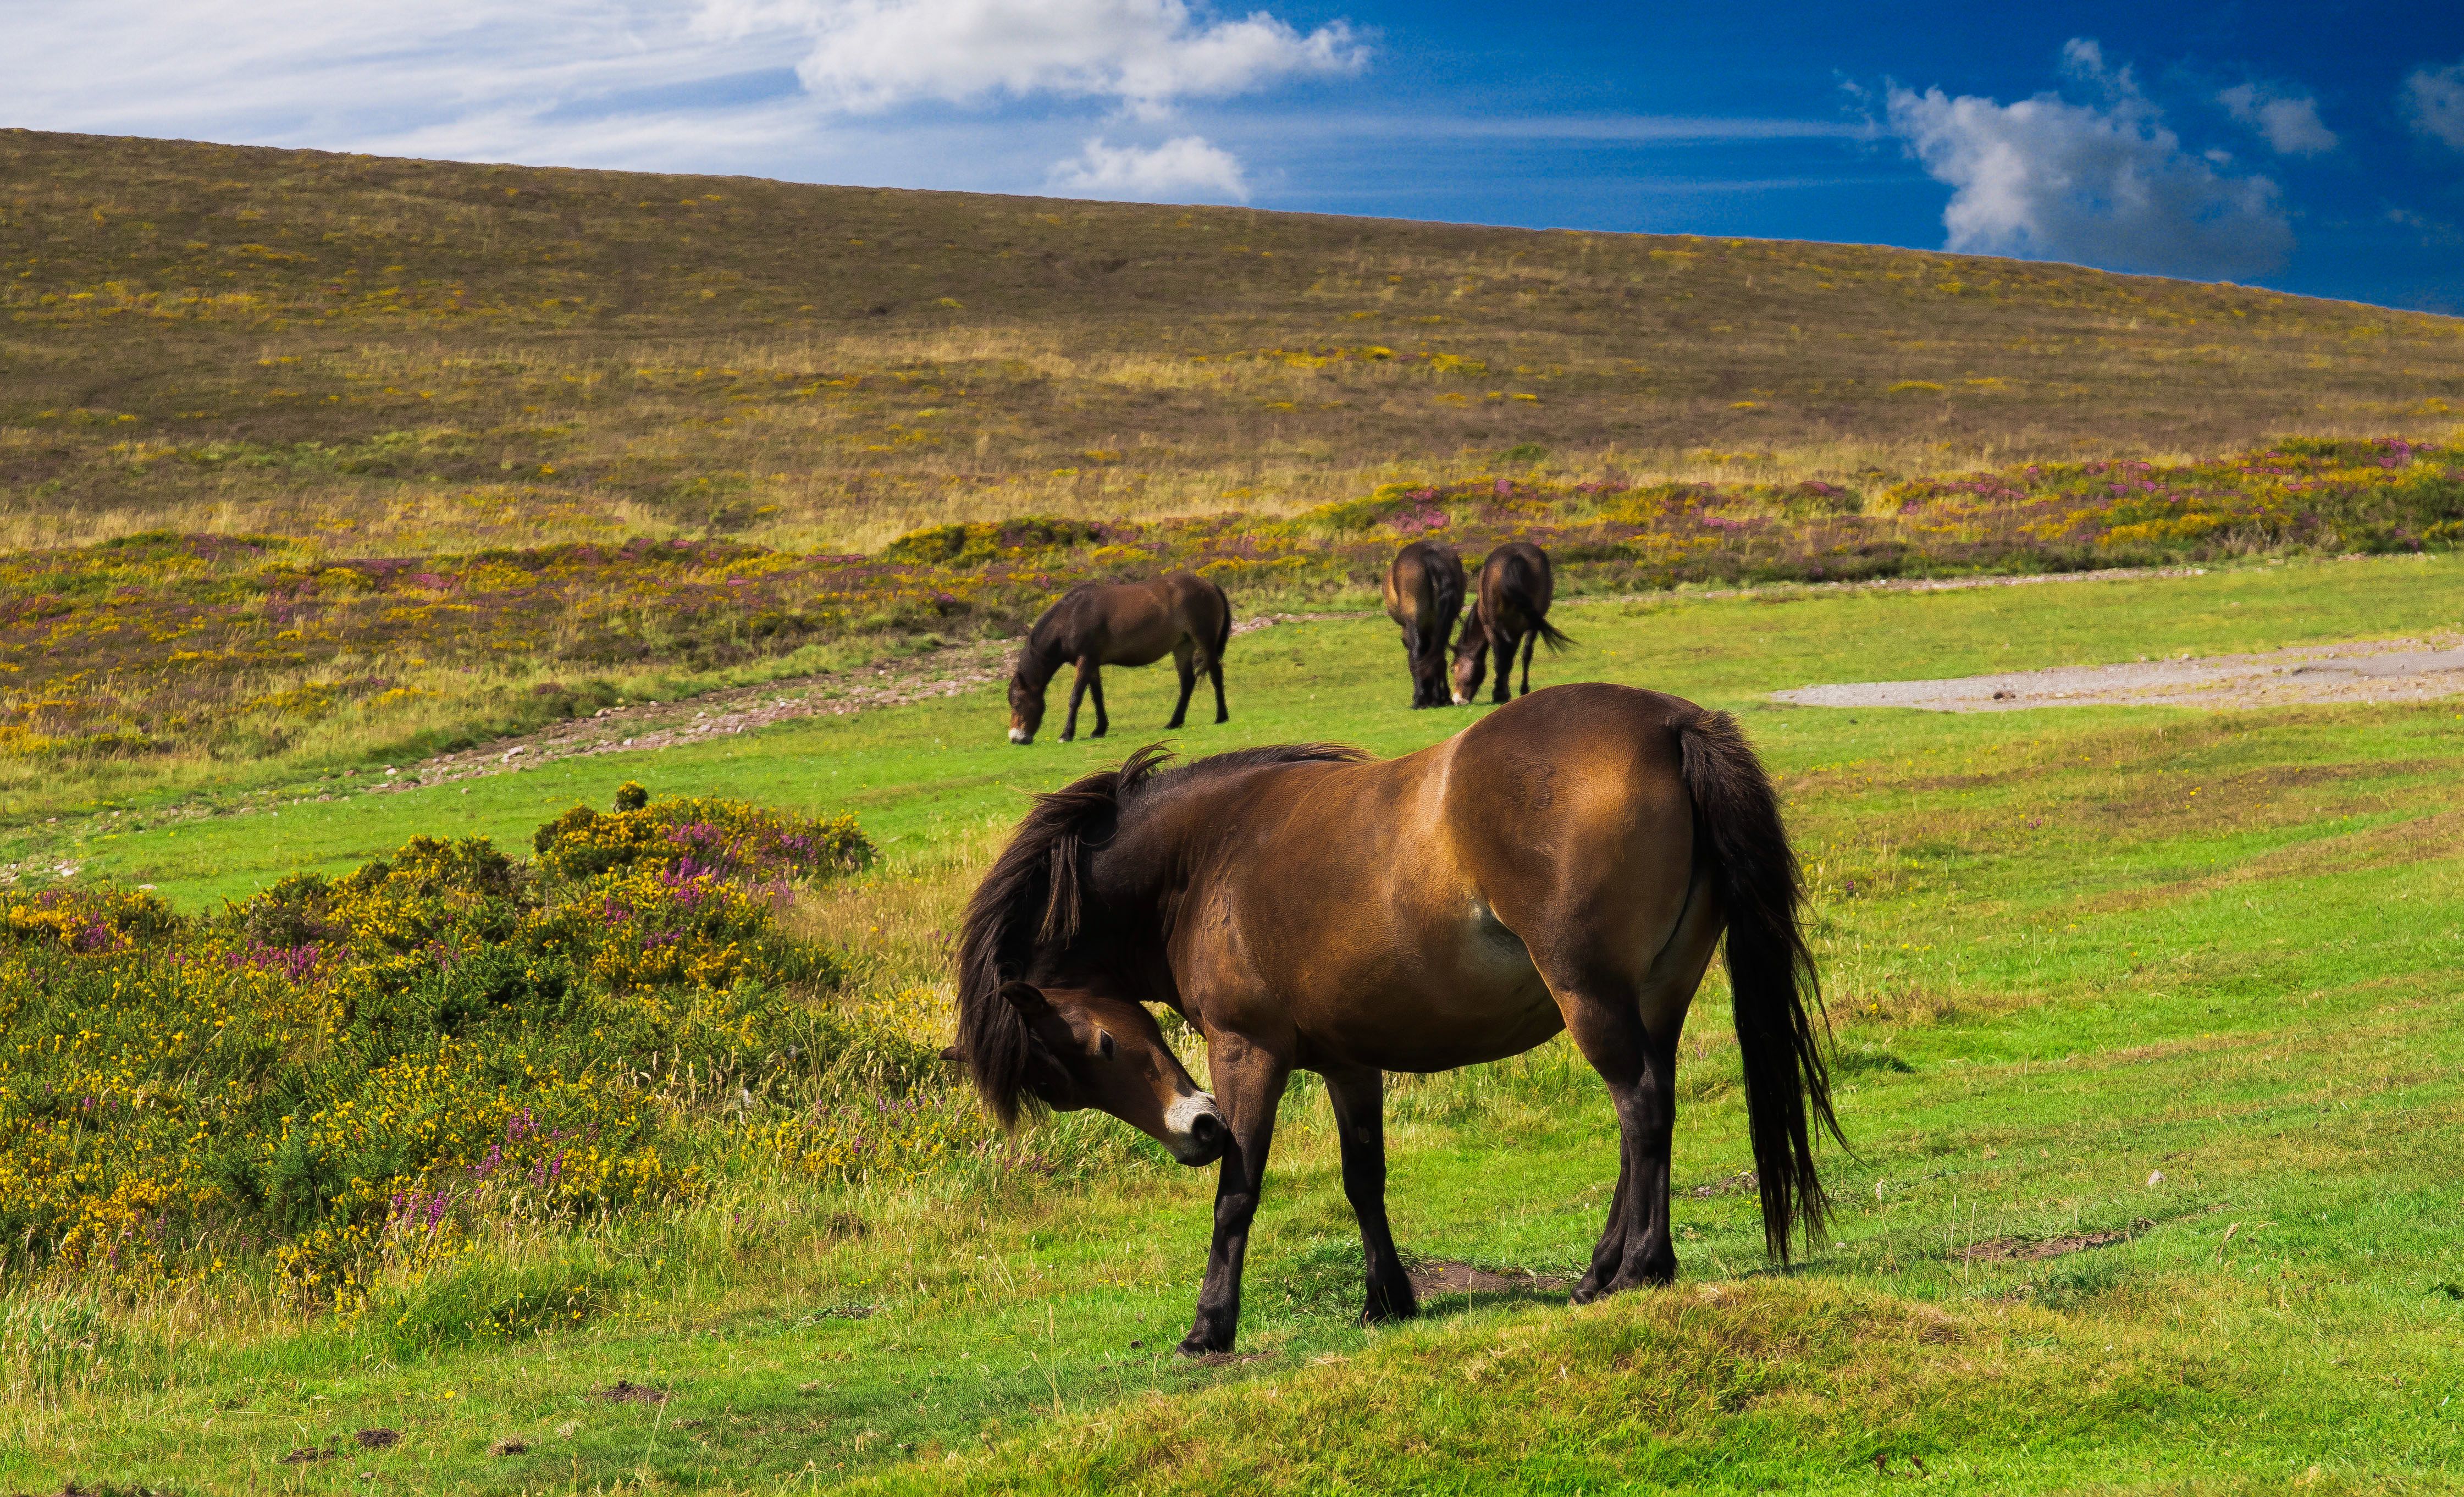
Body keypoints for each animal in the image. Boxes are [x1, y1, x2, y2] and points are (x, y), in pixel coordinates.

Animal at [949, 683, 1837, 1356]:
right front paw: (1387, 1298)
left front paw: (1209, 1326)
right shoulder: (1350, 1061)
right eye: (1068, 1084)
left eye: (1097, 1046)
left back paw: (1640, 1266)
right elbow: (1362, 1177)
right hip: (1653, 999)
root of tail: (1669, 722)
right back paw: (1600, 1271)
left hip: (1592, 996)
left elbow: (1239, 1191)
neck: (1204, 860)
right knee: (1644, 1116)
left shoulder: (1247, 1051)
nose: (1192, 1133)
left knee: (1642, 1107)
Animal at [1006, 573, 1231, 745]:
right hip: (1182, 646)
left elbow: (1075, 697)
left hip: (1205, 641)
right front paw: (1099, 729)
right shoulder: (1092, 664)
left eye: (1018, 703)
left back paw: (1221, 716)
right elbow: (1097, 696)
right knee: (1187, 682)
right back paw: (1174, 722)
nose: (1016, 739)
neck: (1070, 617)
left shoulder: (1085, 661)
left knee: (1216, 674)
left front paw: (1067, 734)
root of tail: (1210, 585)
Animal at [1383, 540, 1466, 709]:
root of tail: (1429, 553)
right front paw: (1440, 697)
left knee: (1418, 650)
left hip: (1414, 617)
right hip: (1443, 621)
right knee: (1437, 652)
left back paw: (1419, 699)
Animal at [1453, 541, 1570, 705]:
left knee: (1500, 656)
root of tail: (1516, 556)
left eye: (1452, 669)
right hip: (1531, 624)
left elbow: (1501, 659)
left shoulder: (1491, 627)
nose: (1457, 700)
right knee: (1526, 654)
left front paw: (1500, 693)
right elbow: (1510, 659)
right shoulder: (1516, 631)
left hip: (1497, 626)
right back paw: (1524, 690)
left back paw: (1501, 693)